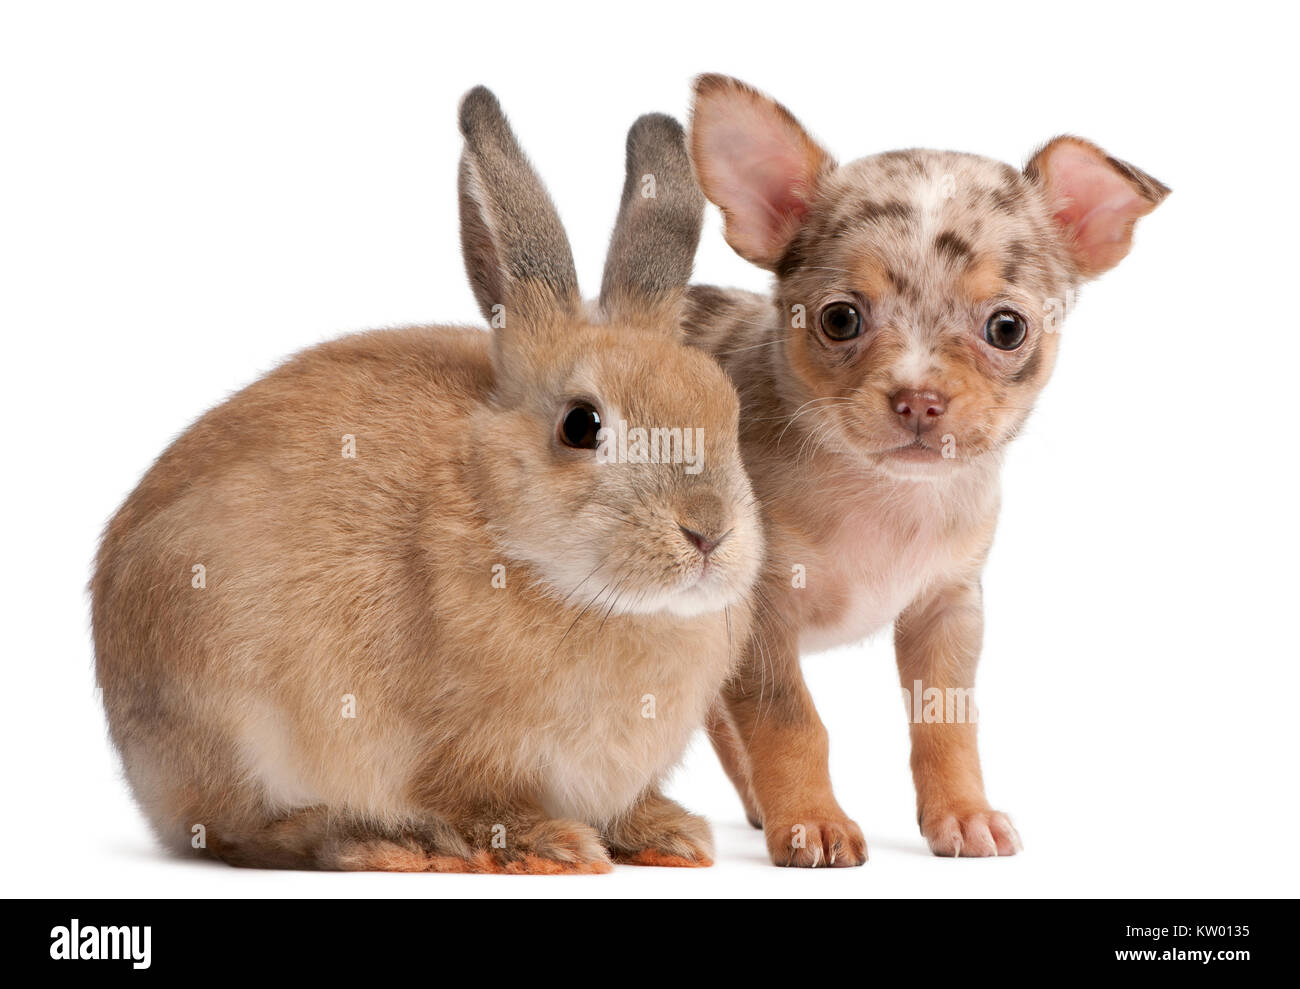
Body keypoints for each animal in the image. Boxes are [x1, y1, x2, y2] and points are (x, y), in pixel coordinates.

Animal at [91, 87, 762, 874]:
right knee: (242, 832)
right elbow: (483, 805)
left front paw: (671, 834)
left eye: (726, 408)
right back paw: (379, 841)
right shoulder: (462, 756)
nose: (708, 531)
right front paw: (557, 846)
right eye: (581, 424)